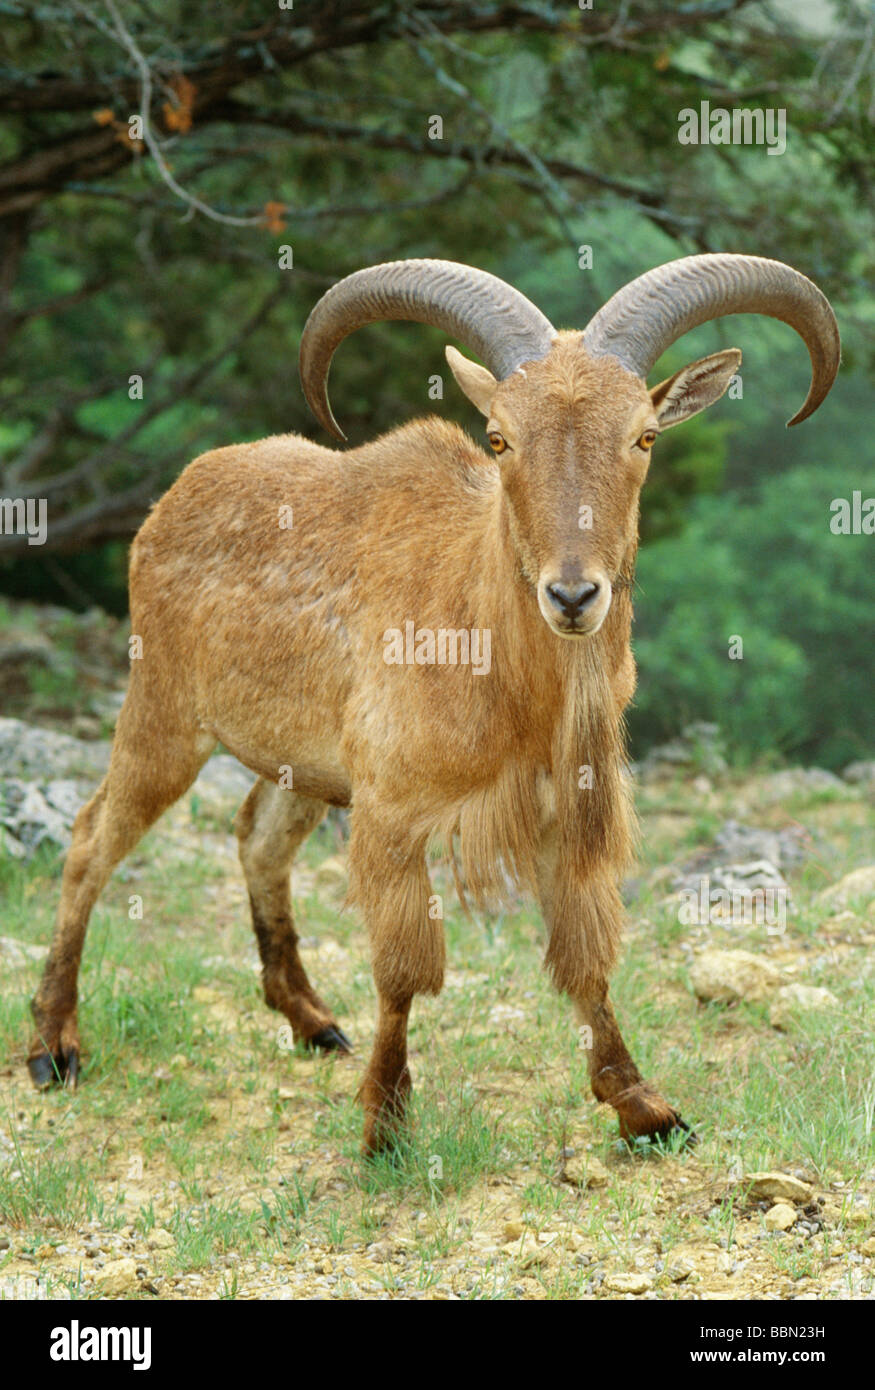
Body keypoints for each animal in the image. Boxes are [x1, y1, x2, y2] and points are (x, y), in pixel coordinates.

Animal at [27, 254, 840, 1155]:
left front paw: (644, 1106)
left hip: (301, 766)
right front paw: (384, 1122)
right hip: (165, 715)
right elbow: (406, 967)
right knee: (92, 839)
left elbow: (583, 951)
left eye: (644, 437)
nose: (571, 595)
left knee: (257, 843)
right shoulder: (390, 813)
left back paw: (311, 1020)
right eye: (499, 438)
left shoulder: (560, 809)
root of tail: (172, 499)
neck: (499, 668)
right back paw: (53, 1043)